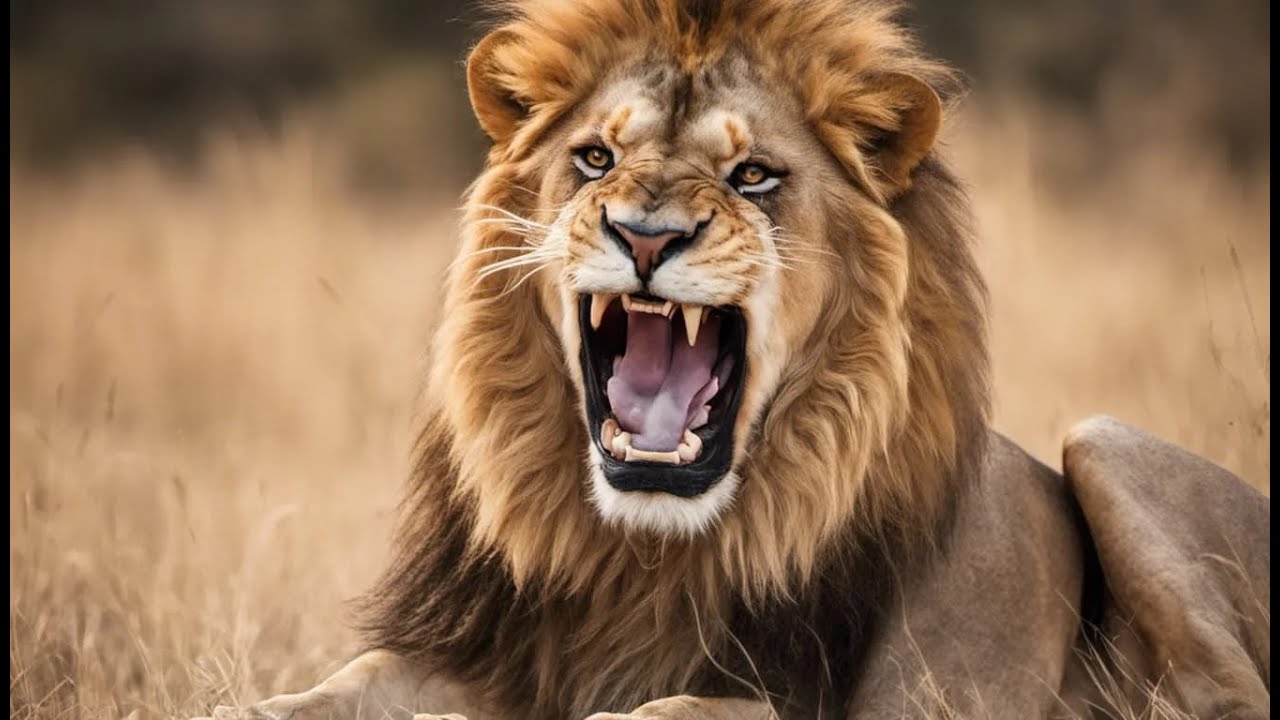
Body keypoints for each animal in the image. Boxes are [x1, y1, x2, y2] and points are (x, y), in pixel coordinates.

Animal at [200, 1, 1270, 718]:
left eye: (752, 175)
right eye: (594, 159)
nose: (644, 236)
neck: (636, 549)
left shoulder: (821, 696)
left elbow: (671, 705)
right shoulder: (489, 652)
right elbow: (332, 685)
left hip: (1104, 441)